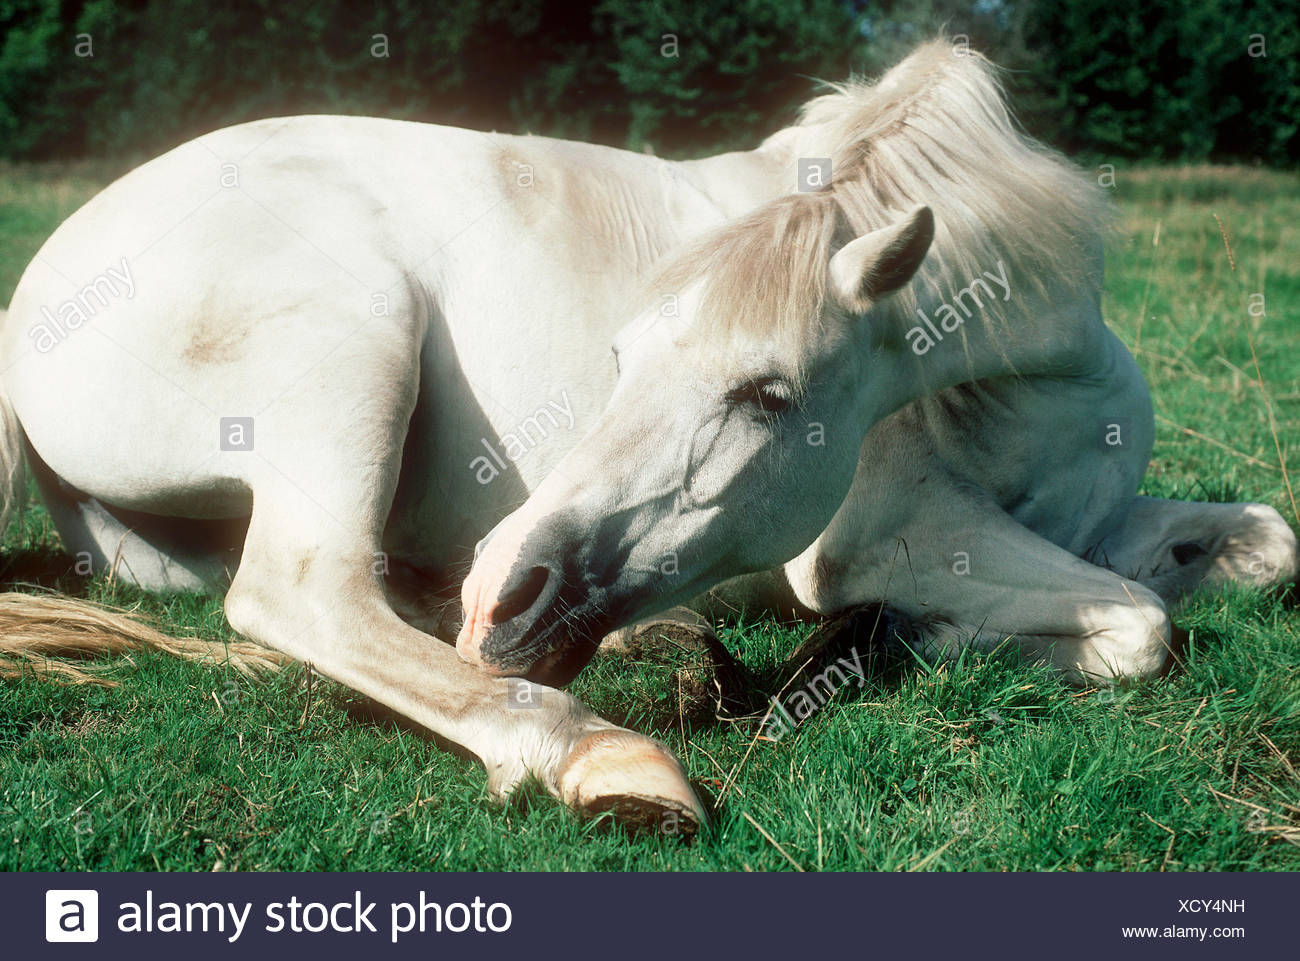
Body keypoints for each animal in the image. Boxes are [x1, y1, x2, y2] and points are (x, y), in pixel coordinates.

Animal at [2, 41, 1295, 834]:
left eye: (768, 393)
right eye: (620, 355)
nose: (504, 596)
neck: (1037, 388)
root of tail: (37, 295)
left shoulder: (1100, 520)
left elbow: (1257, 551)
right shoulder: (894, 537)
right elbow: (1141, 626)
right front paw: (885, 641)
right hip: (349, 343)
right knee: (307, 592)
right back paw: (599, 752)